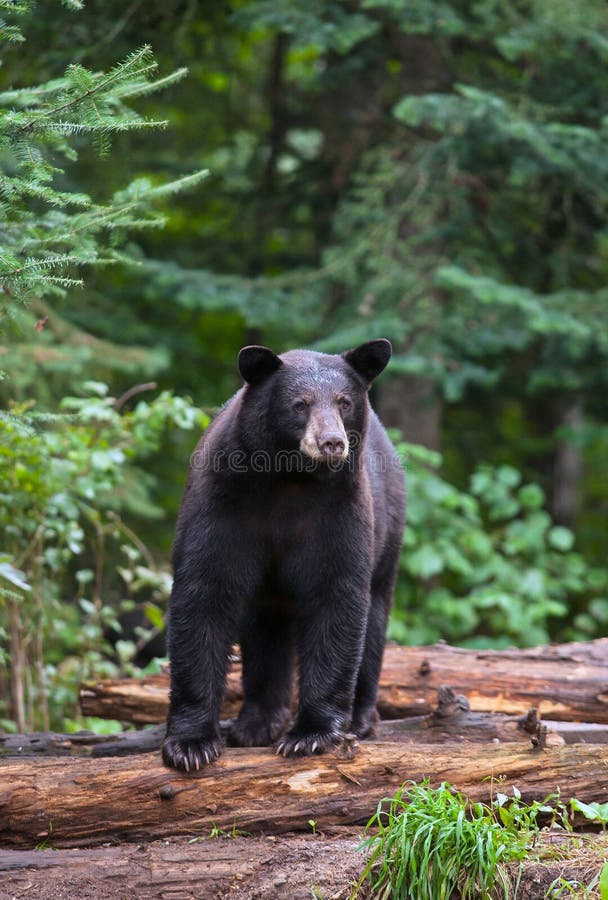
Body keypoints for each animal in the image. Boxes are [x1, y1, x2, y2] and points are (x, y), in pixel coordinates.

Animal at [164, 342, 406, 768]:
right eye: (300, 404)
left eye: (343, 402)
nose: (332, 442)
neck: (289, 478)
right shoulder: (223, 503)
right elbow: (204, 592)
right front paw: (191, 744)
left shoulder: (339, 510)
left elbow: (335, 598)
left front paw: (310, 735)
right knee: (265, 635)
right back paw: (258, 722)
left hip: (388, 533)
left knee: (374, 620)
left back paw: (361, 718)